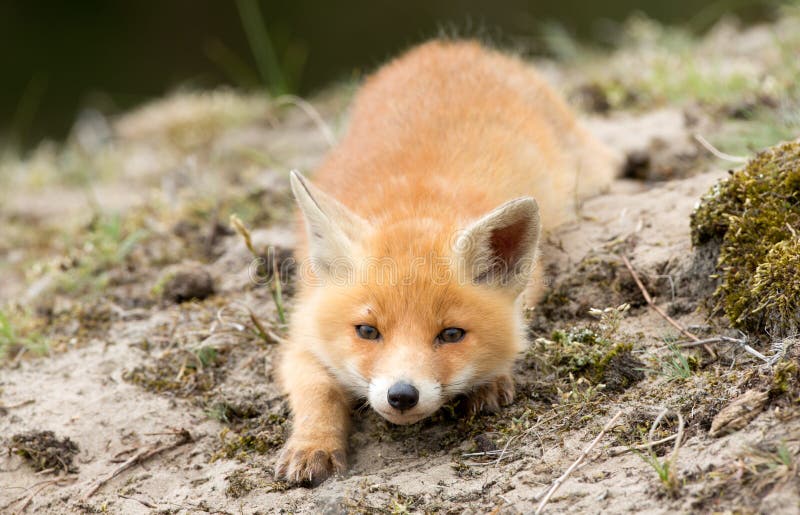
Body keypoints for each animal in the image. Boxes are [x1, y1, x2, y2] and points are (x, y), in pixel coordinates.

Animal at [275, 40, 620, 484]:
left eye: (452, 334)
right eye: (367, 331)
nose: (402, 395)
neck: (415, 204)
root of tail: (446, 46)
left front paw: (490, 381)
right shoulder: (302, 329)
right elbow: (316, 390)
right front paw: (312, 444)